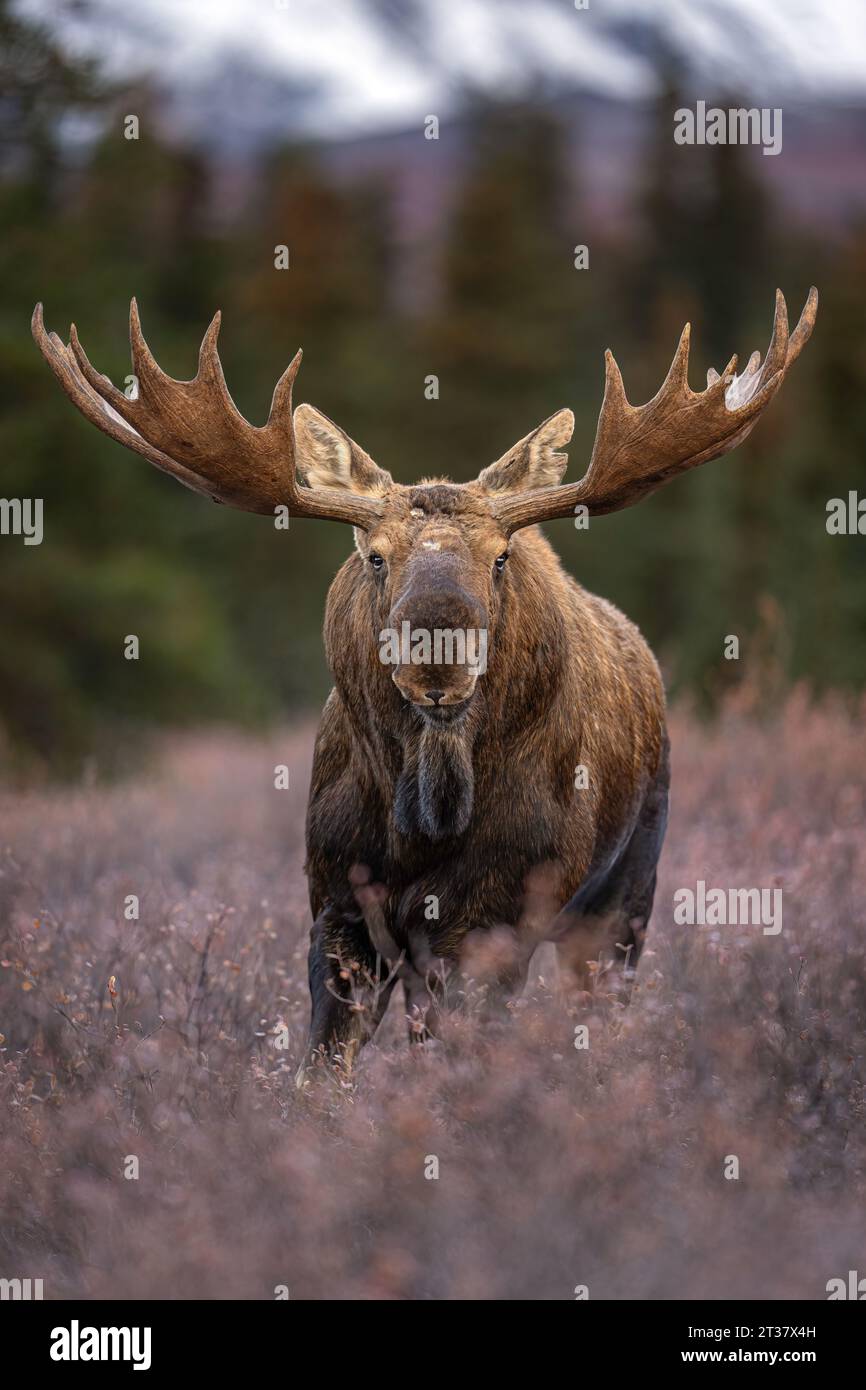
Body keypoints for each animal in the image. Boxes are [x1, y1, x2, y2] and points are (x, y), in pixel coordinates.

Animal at [32, 287, 817, 1082]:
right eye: (375, 556)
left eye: (501, 557)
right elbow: (322, 1073)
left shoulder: (495, 920)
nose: (437, 662)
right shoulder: (338, 905)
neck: (423, 816)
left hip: (624, 897)